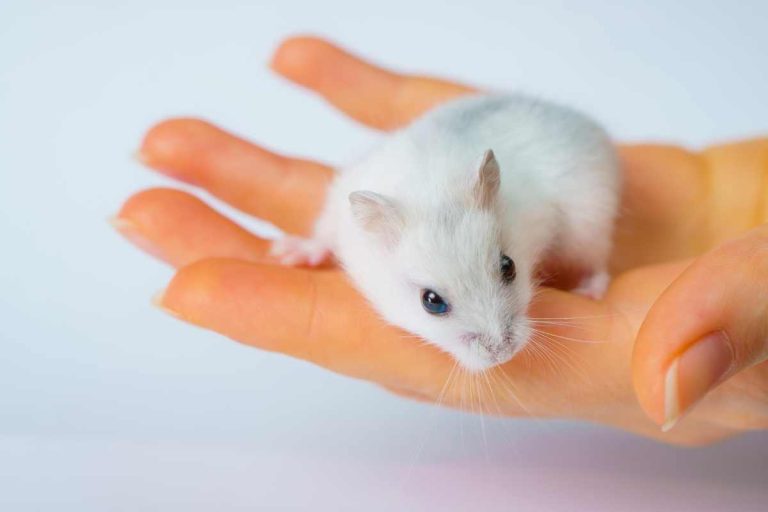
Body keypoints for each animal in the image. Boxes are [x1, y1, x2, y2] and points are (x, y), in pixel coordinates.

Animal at [271, 94, 620, 371]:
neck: (430, 188)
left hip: (589, 221)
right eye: (431, 302)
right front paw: (286, 254)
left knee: (598, 263)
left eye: (509, 267)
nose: (504, 354)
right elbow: (321, 236)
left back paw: (588, 291)